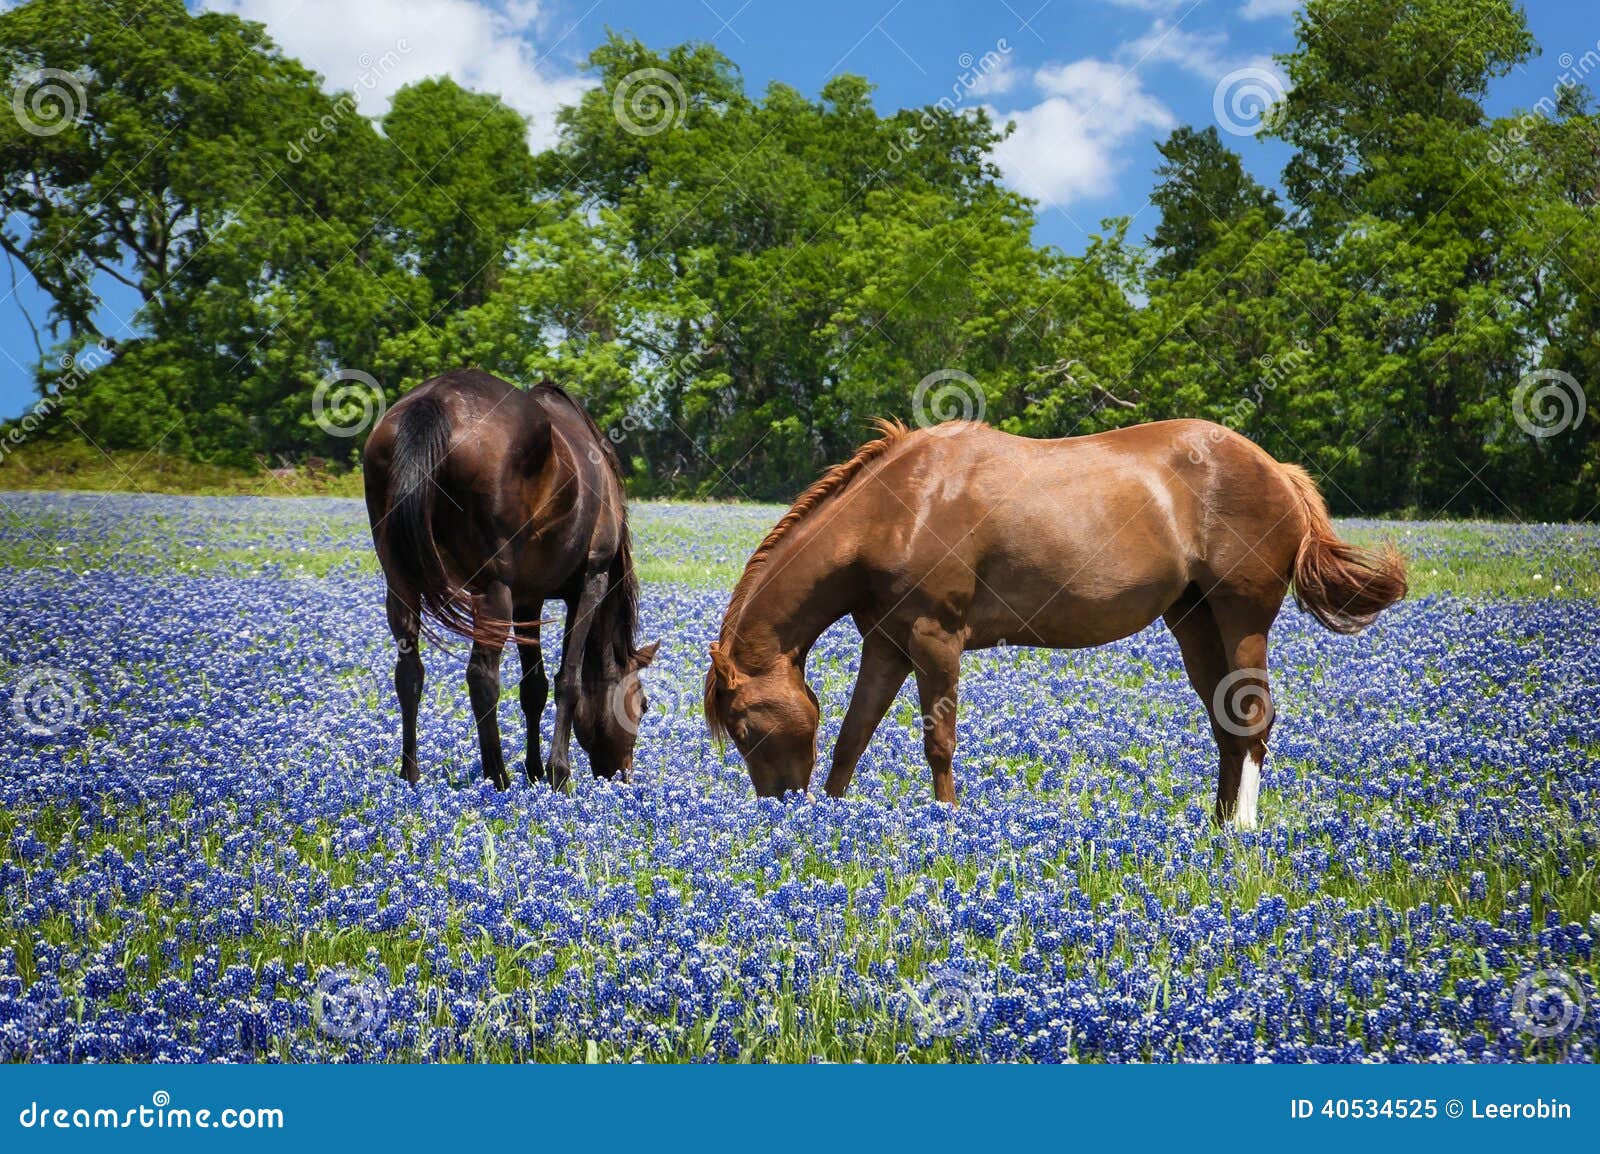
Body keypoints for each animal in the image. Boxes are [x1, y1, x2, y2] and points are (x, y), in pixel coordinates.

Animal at [362, 368, 657, 790]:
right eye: (644, 705)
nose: (622, 776)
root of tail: (435, 401)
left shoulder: (528, 599)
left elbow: (534, 687)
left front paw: (534, 770)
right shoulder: (592, 578)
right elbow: (568, 680)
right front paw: (558, 773)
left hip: (400, 580)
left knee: (409, 673)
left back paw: (410, 777)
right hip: (491, 586)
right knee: (482, 677)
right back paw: (496, 776)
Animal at [704, 418, 1406, 827]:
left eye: (743, 726)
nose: (777, 808)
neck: (900, 508)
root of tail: (1276, 469)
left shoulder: (936, 641)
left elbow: (938, 743)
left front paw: (946, 825)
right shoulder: (886, 645)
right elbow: (852, 739)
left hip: (1242, 618)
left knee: (1253, 718)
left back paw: (1241, 830)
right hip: (1194, 621)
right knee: (1226, 722)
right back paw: (1214, 825)